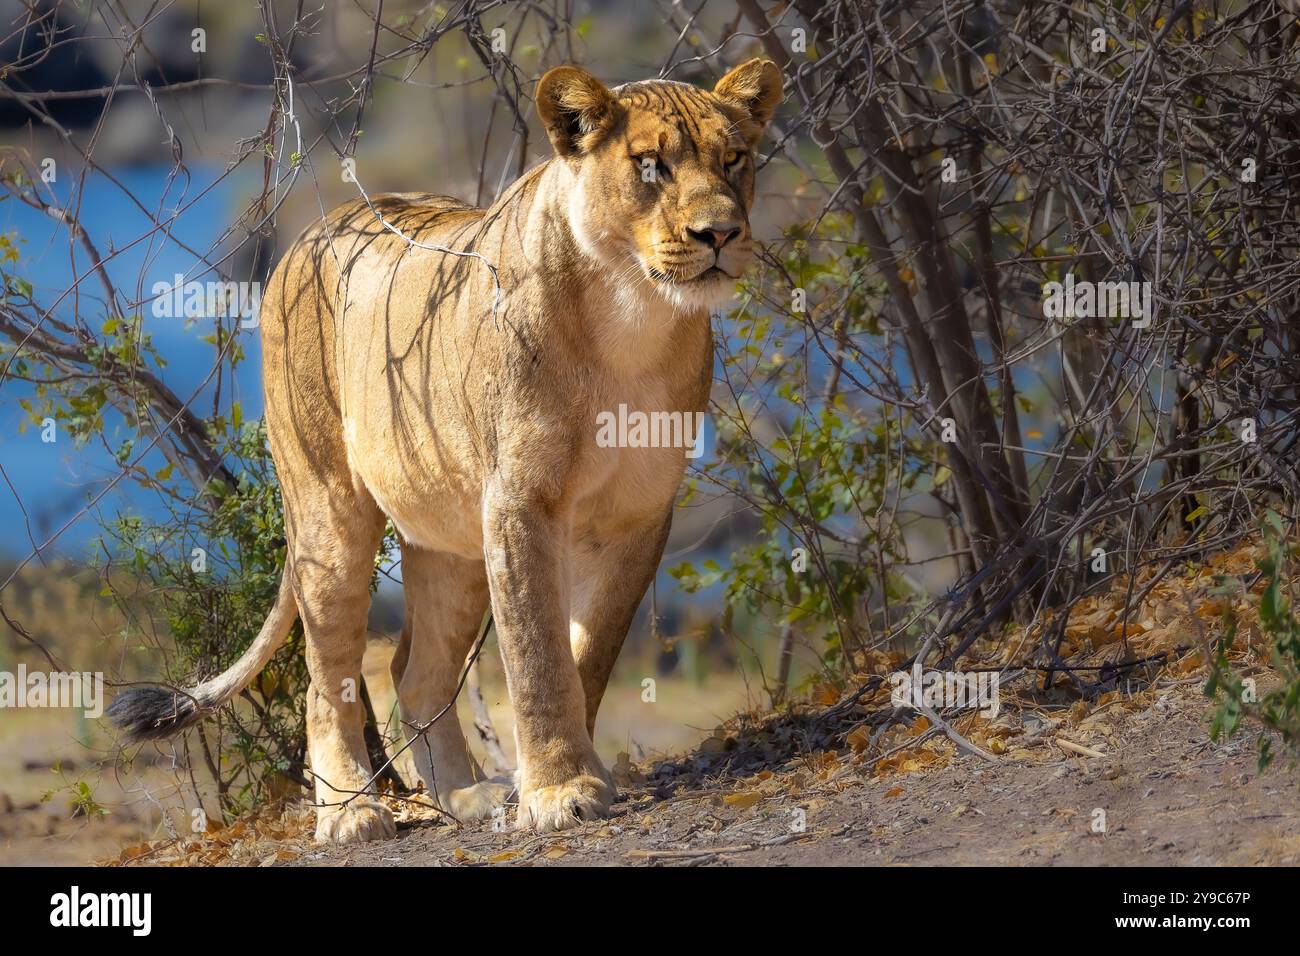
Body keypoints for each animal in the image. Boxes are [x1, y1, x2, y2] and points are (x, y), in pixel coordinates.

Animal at [108, 59, 782, 841]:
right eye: (651, 166)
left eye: (733, 159)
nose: (721, 232)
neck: (633, 318)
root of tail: (310, 232)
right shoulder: (520, 501)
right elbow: (537, 653)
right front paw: (559, 790)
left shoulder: (638, 514)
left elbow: (588, 653)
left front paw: (557, 779)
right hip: (329, 514)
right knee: (326, 678)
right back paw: (351, 810)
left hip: (449, 539)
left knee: (414, 671)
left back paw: (462, 796)